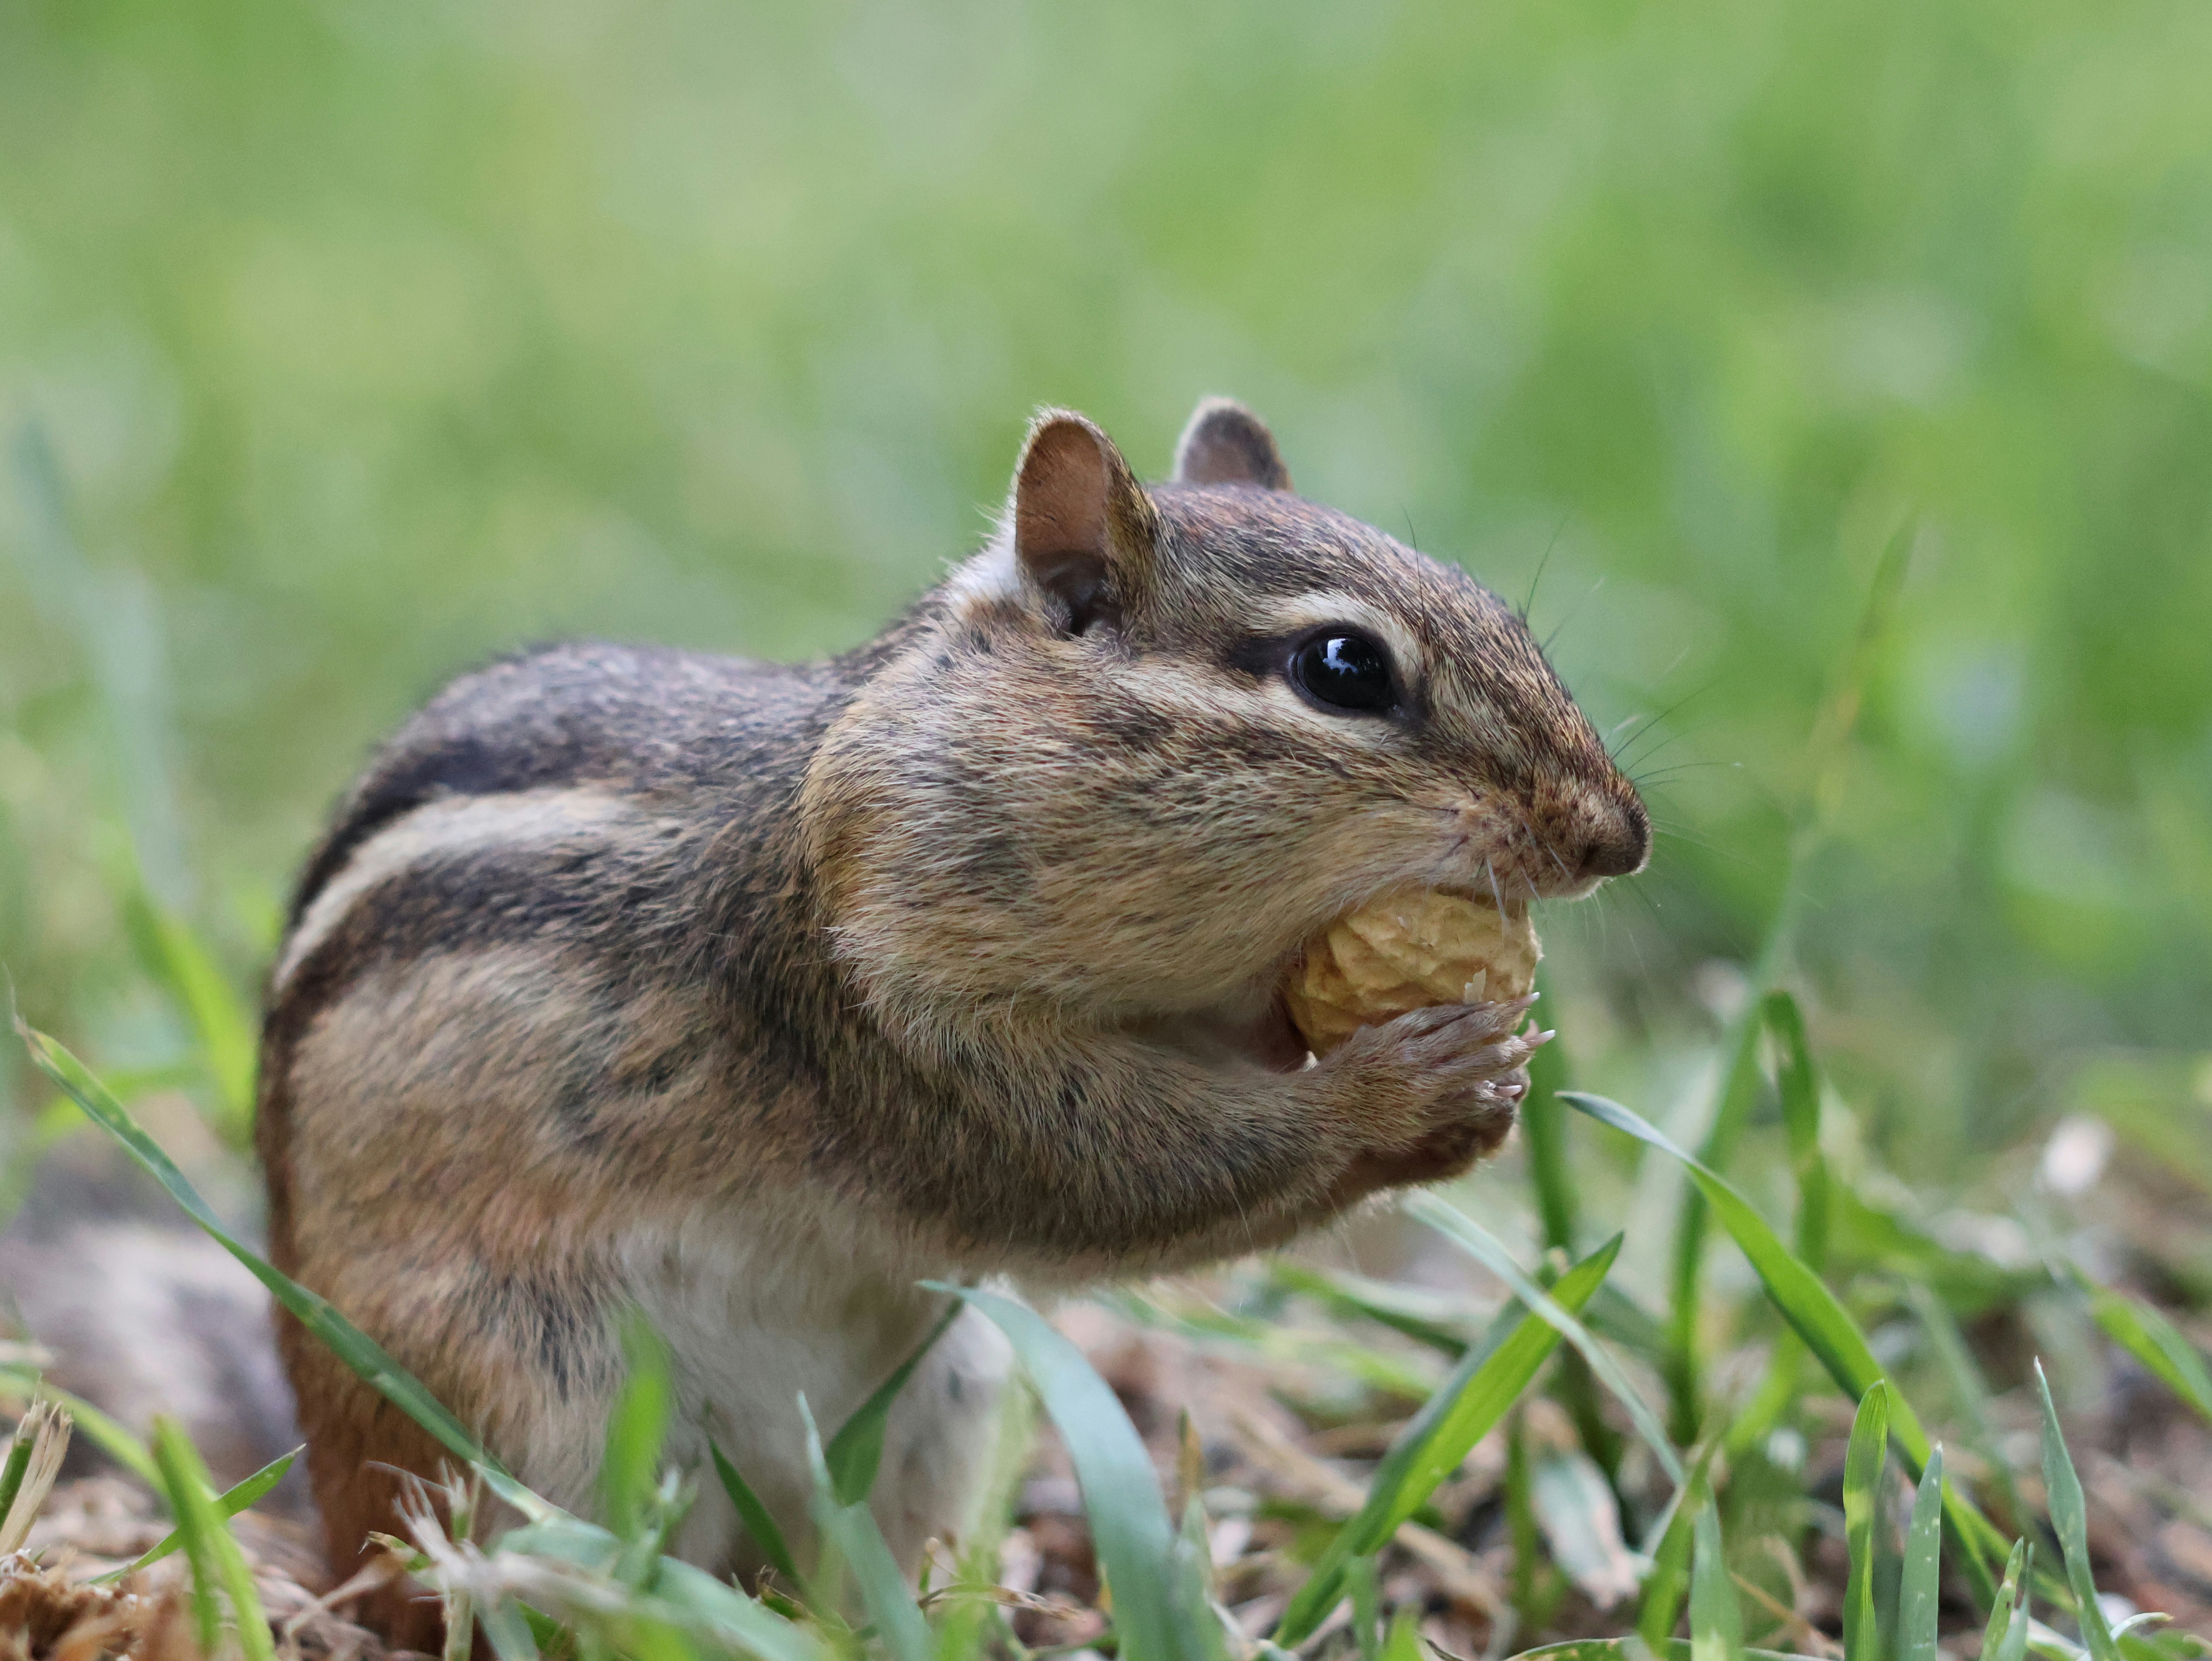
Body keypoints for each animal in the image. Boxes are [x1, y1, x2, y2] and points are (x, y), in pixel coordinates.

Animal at [252, 398, 1649, 1645]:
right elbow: (1106, 1167)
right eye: (1344, 669)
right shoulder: (872, 1007)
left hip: (947, 1392)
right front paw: (1412, 1091)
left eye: (1501, 611)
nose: (1618, 838)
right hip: (526, 1407)